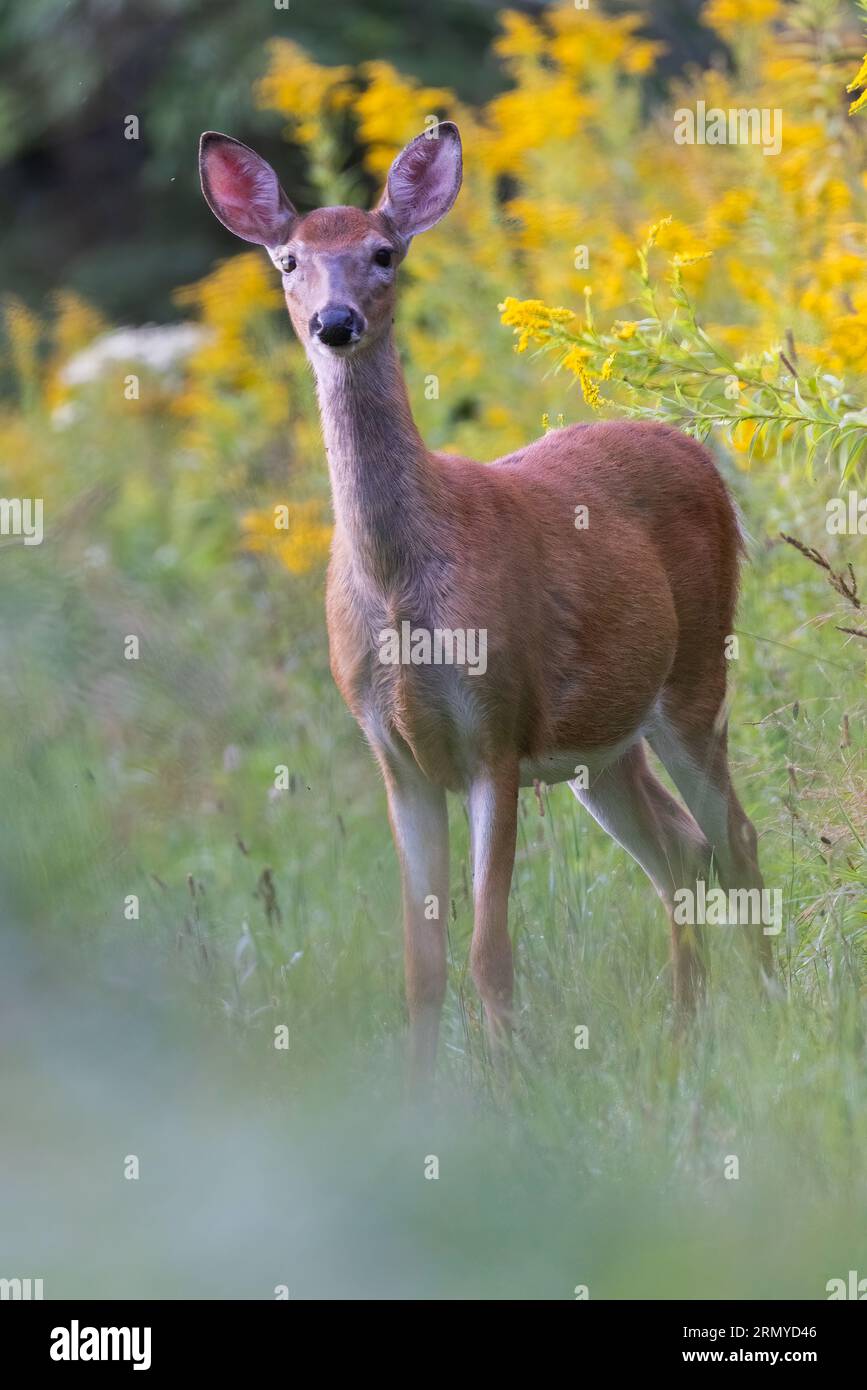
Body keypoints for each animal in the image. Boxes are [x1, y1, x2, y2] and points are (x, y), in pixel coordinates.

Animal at [199, 121, 772, 1089]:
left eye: (383, 253)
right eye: (287, 260)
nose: (335, 323)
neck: (400, 595)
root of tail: (693, 449)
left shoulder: (494, 732)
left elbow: (487, 951)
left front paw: (511, 1091)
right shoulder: (394, 756)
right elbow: (421, 963)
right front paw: (421, 1100)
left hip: (695, 674)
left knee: (732, 832)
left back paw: (775, 1000)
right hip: (602, 745)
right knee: (677, 846)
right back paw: (682, 1034)